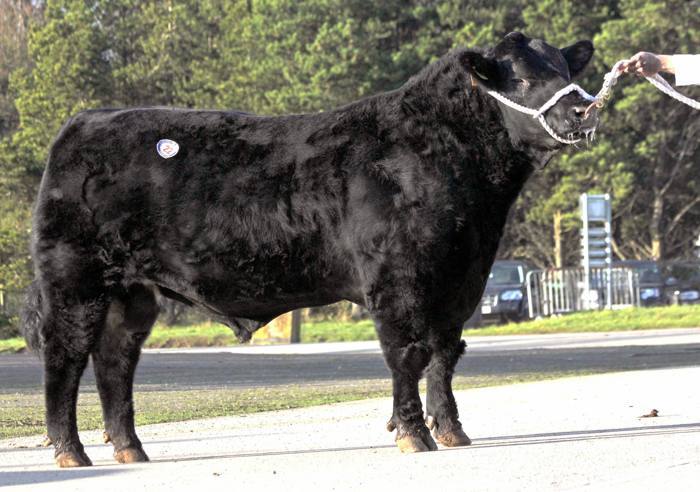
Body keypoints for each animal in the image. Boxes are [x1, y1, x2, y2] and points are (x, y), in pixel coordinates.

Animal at [21, 31, 597, 467]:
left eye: (564, 66)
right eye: (522, 78)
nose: (582, 109)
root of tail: (84, 122)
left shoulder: (460, 279)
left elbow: (445, 355)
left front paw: (452, 429)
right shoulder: (400, 279)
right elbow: (408, 354)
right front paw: (413, 434)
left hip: (132, 292)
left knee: (115, 360)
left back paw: (130, 448)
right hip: (75, 279)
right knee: (66, 357)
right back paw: (71, 451)